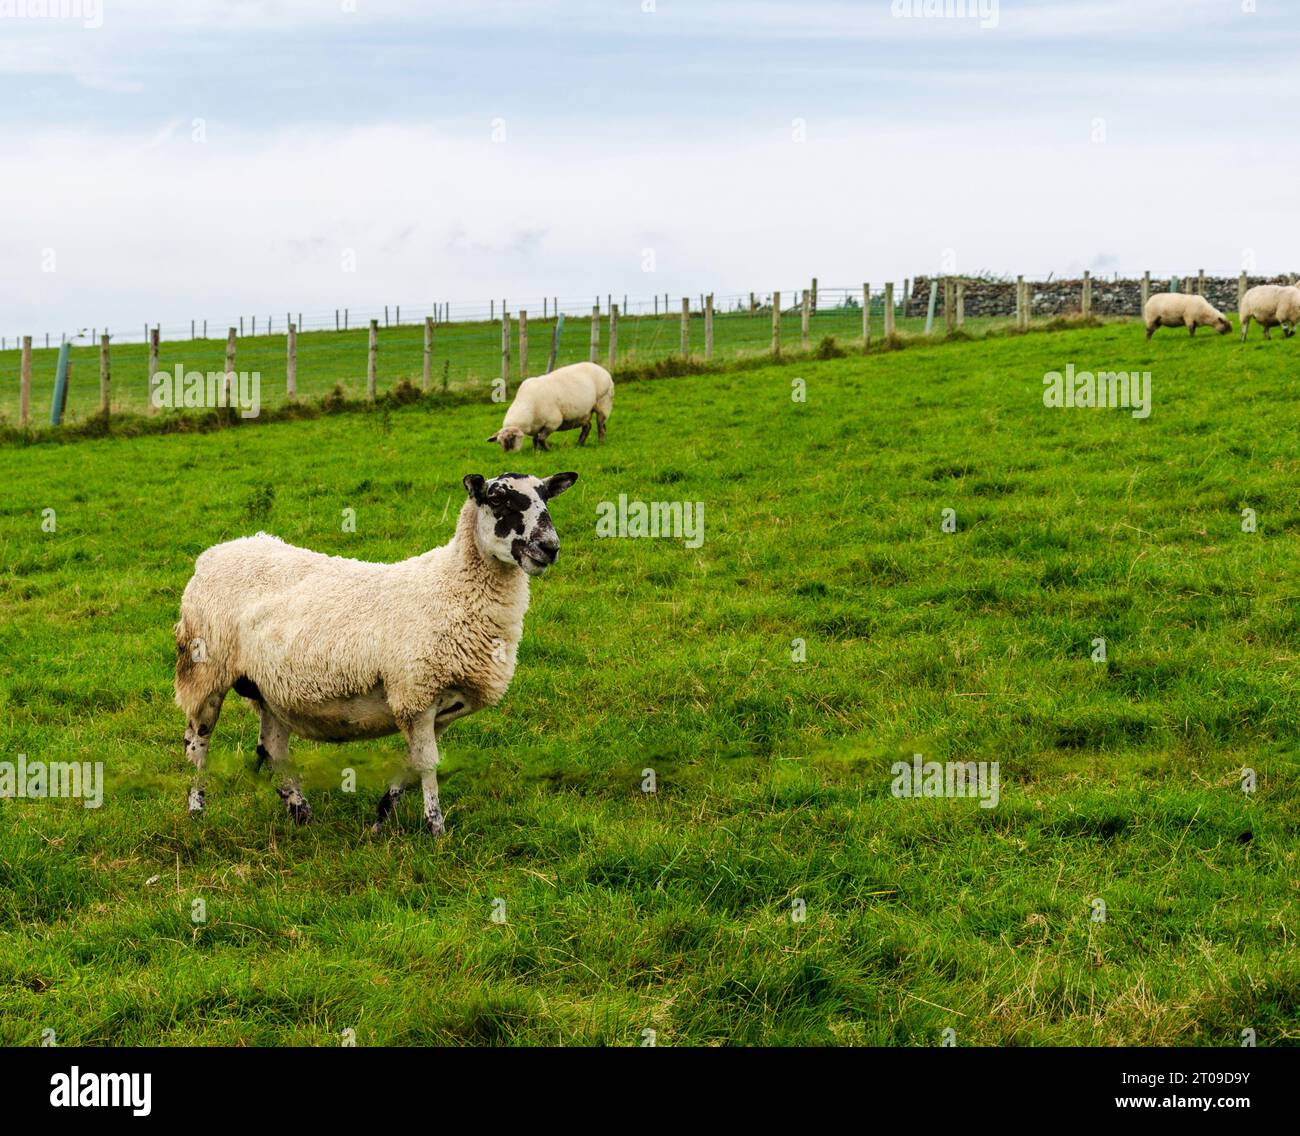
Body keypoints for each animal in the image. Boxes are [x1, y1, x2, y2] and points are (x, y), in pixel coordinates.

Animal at [173, 470, 579, 836]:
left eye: (546, 498)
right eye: (497, 499)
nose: (549, 547)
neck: (452, 585)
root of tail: (215, 553)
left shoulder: (438, 707)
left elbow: (412, 763)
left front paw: (382, 818)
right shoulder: (415, 694)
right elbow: (428, 765)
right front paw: (435, 828)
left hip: (270, 689)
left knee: (274, 749)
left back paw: (300, 812)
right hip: (205, 669)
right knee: (198, 743)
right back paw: (196, 809)